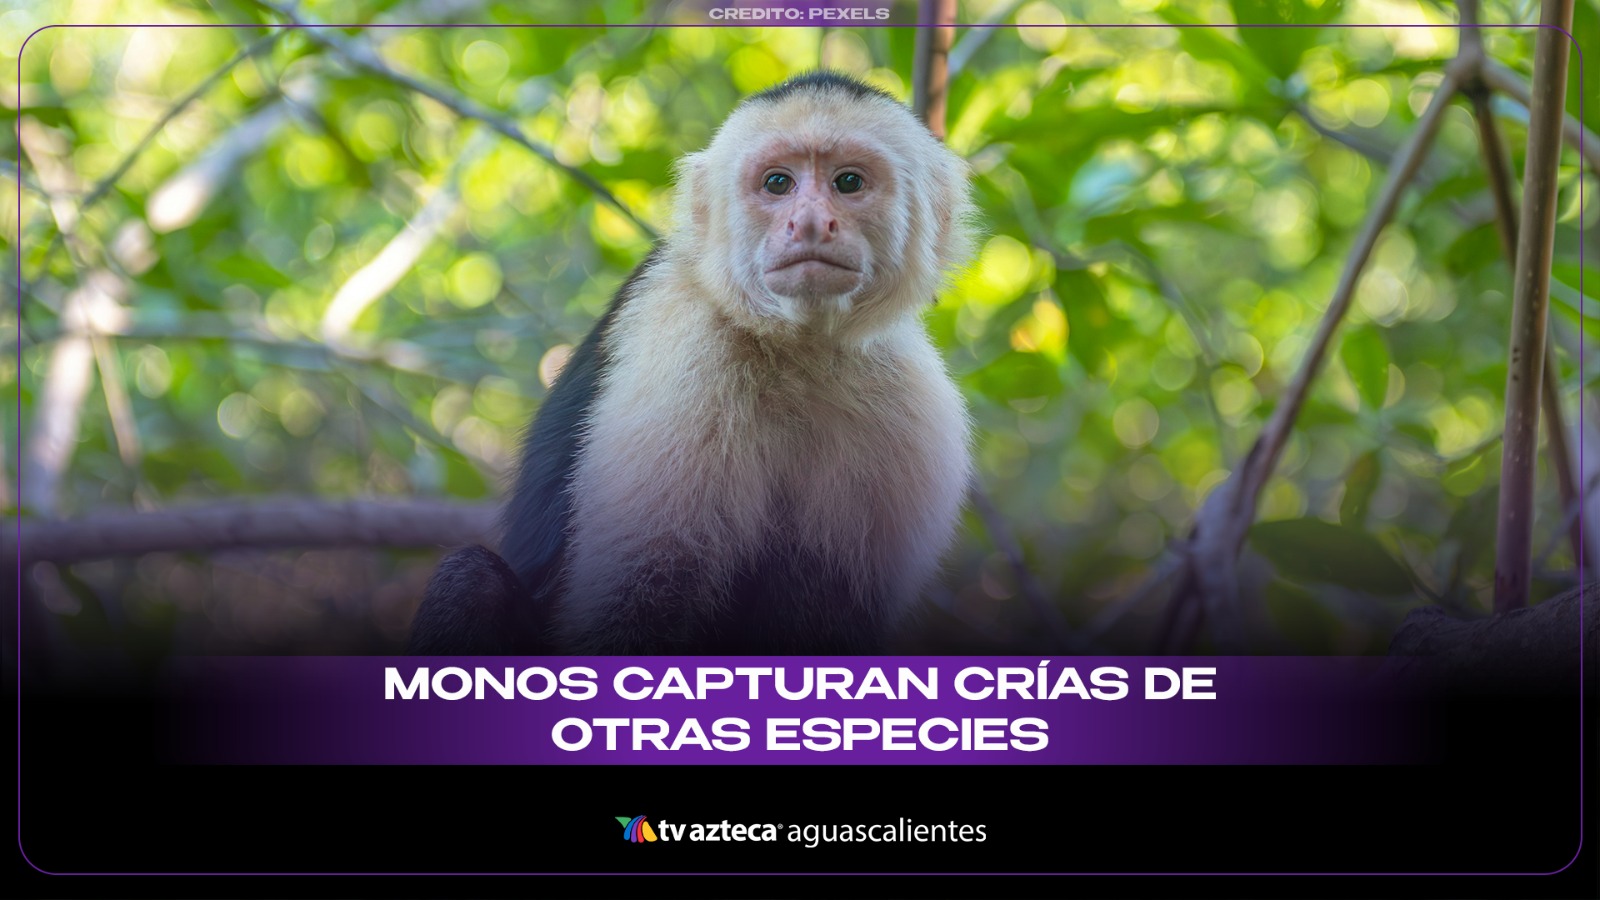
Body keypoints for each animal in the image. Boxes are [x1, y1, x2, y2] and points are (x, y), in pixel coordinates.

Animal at [407, 71, 977, 656]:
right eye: (778, 184)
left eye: (848, 182)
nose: (811, 224)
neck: (798, 349)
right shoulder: (683, 345)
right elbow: (636, 609)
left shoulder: (911, 397)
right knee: (470, 577)